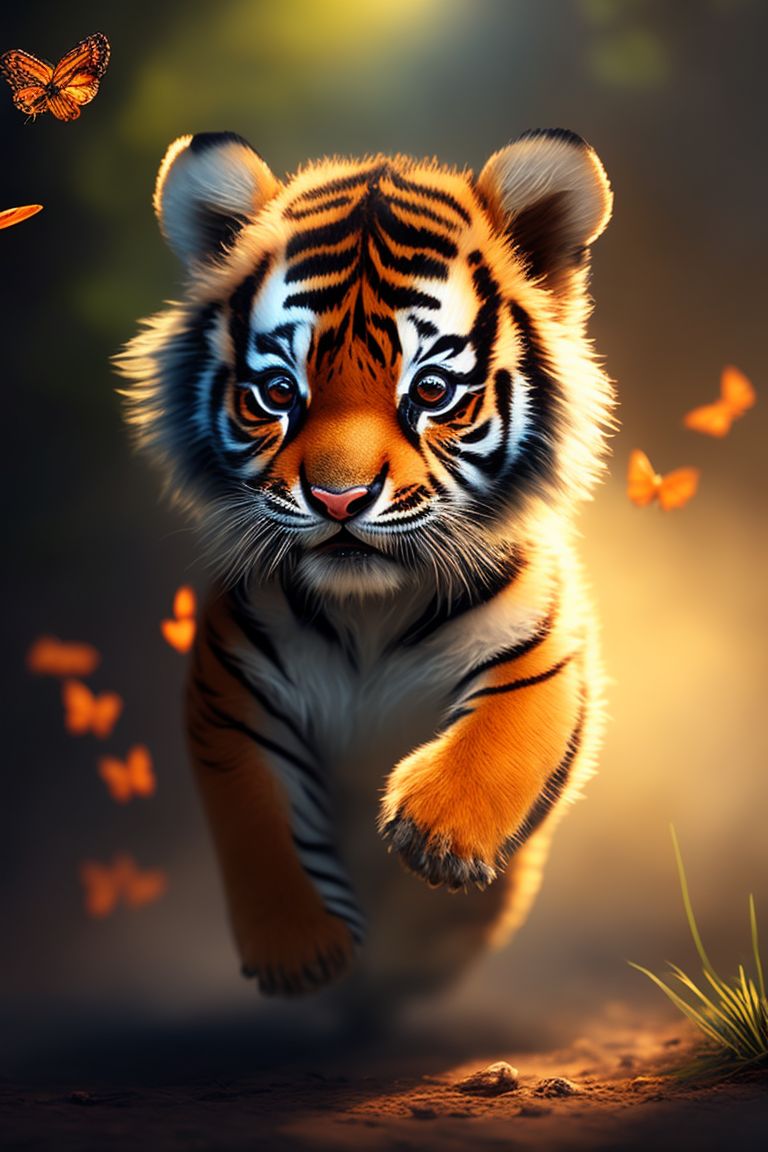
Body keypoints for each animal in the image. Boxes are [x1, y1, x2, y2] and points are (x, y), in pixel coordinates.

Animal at [117, 128, 614, 1002]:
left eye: (434, 390)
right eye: (279, 391)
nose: (339, 499)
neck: (368, 609)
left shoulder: (543, 648)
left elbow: (508, 725)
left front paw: (436, 835)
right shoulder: (234, 696)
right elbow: (260, 817)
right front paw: (299, 948)